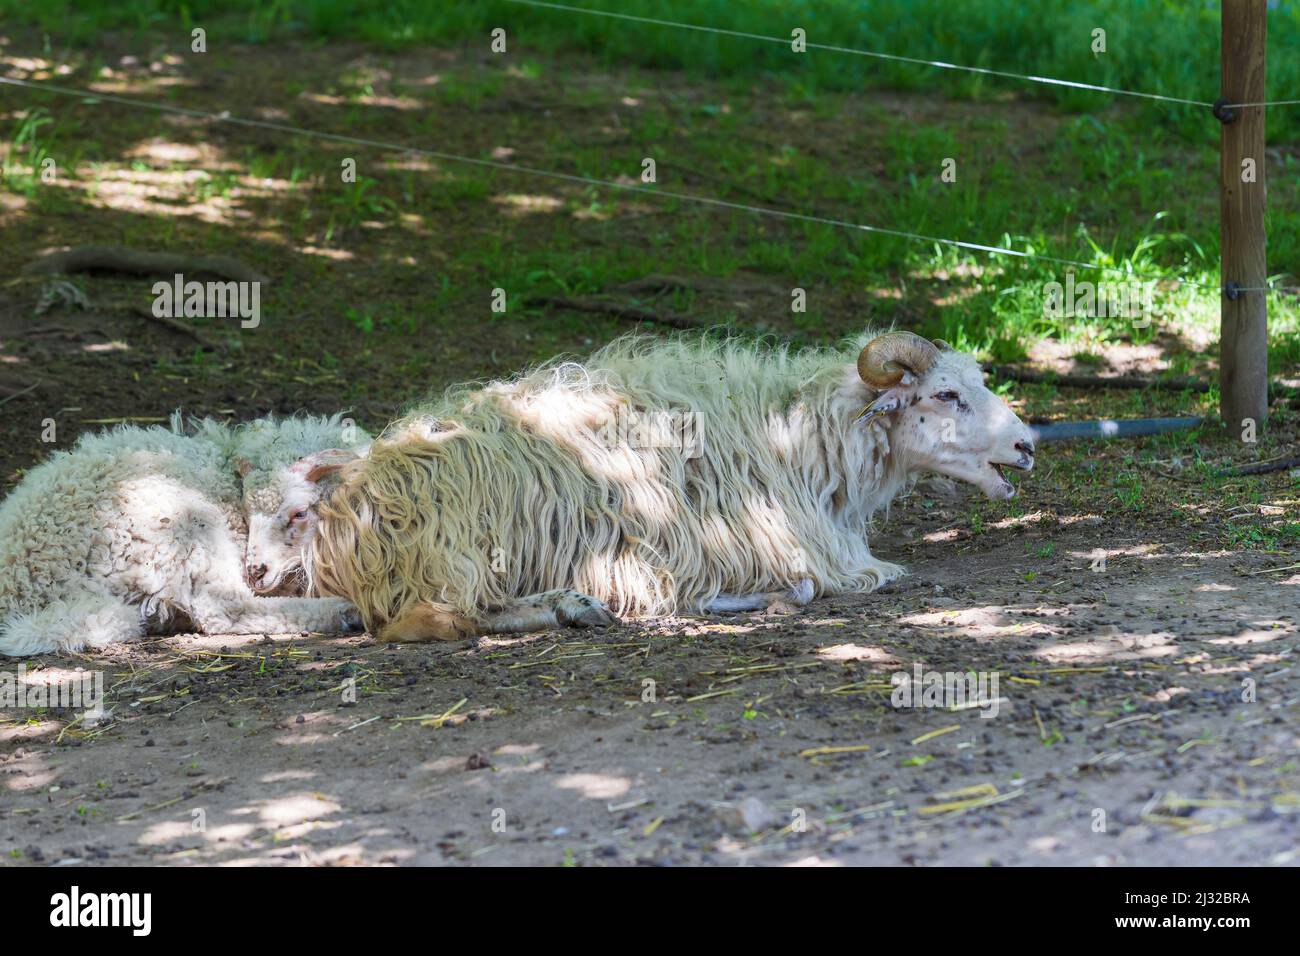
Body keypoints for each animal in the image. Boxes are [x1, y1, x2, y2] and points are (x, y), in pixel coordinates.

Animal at [0, 413, 370, 657]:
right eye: (247, 511)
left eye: (300, 513)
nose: (255, 571)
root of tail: (18, 586)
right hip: (185, 528)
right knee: (224, 610)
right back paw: (344, 611)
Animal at [245, 330, 1035, 644]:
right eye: (947, 396)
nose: (1028, 445)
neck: (799, 432)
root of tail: (341, 504)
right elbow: (819, 584)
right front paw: (747, 599)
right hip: (453, 552)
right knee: (433, 620)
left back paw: (573, 605)